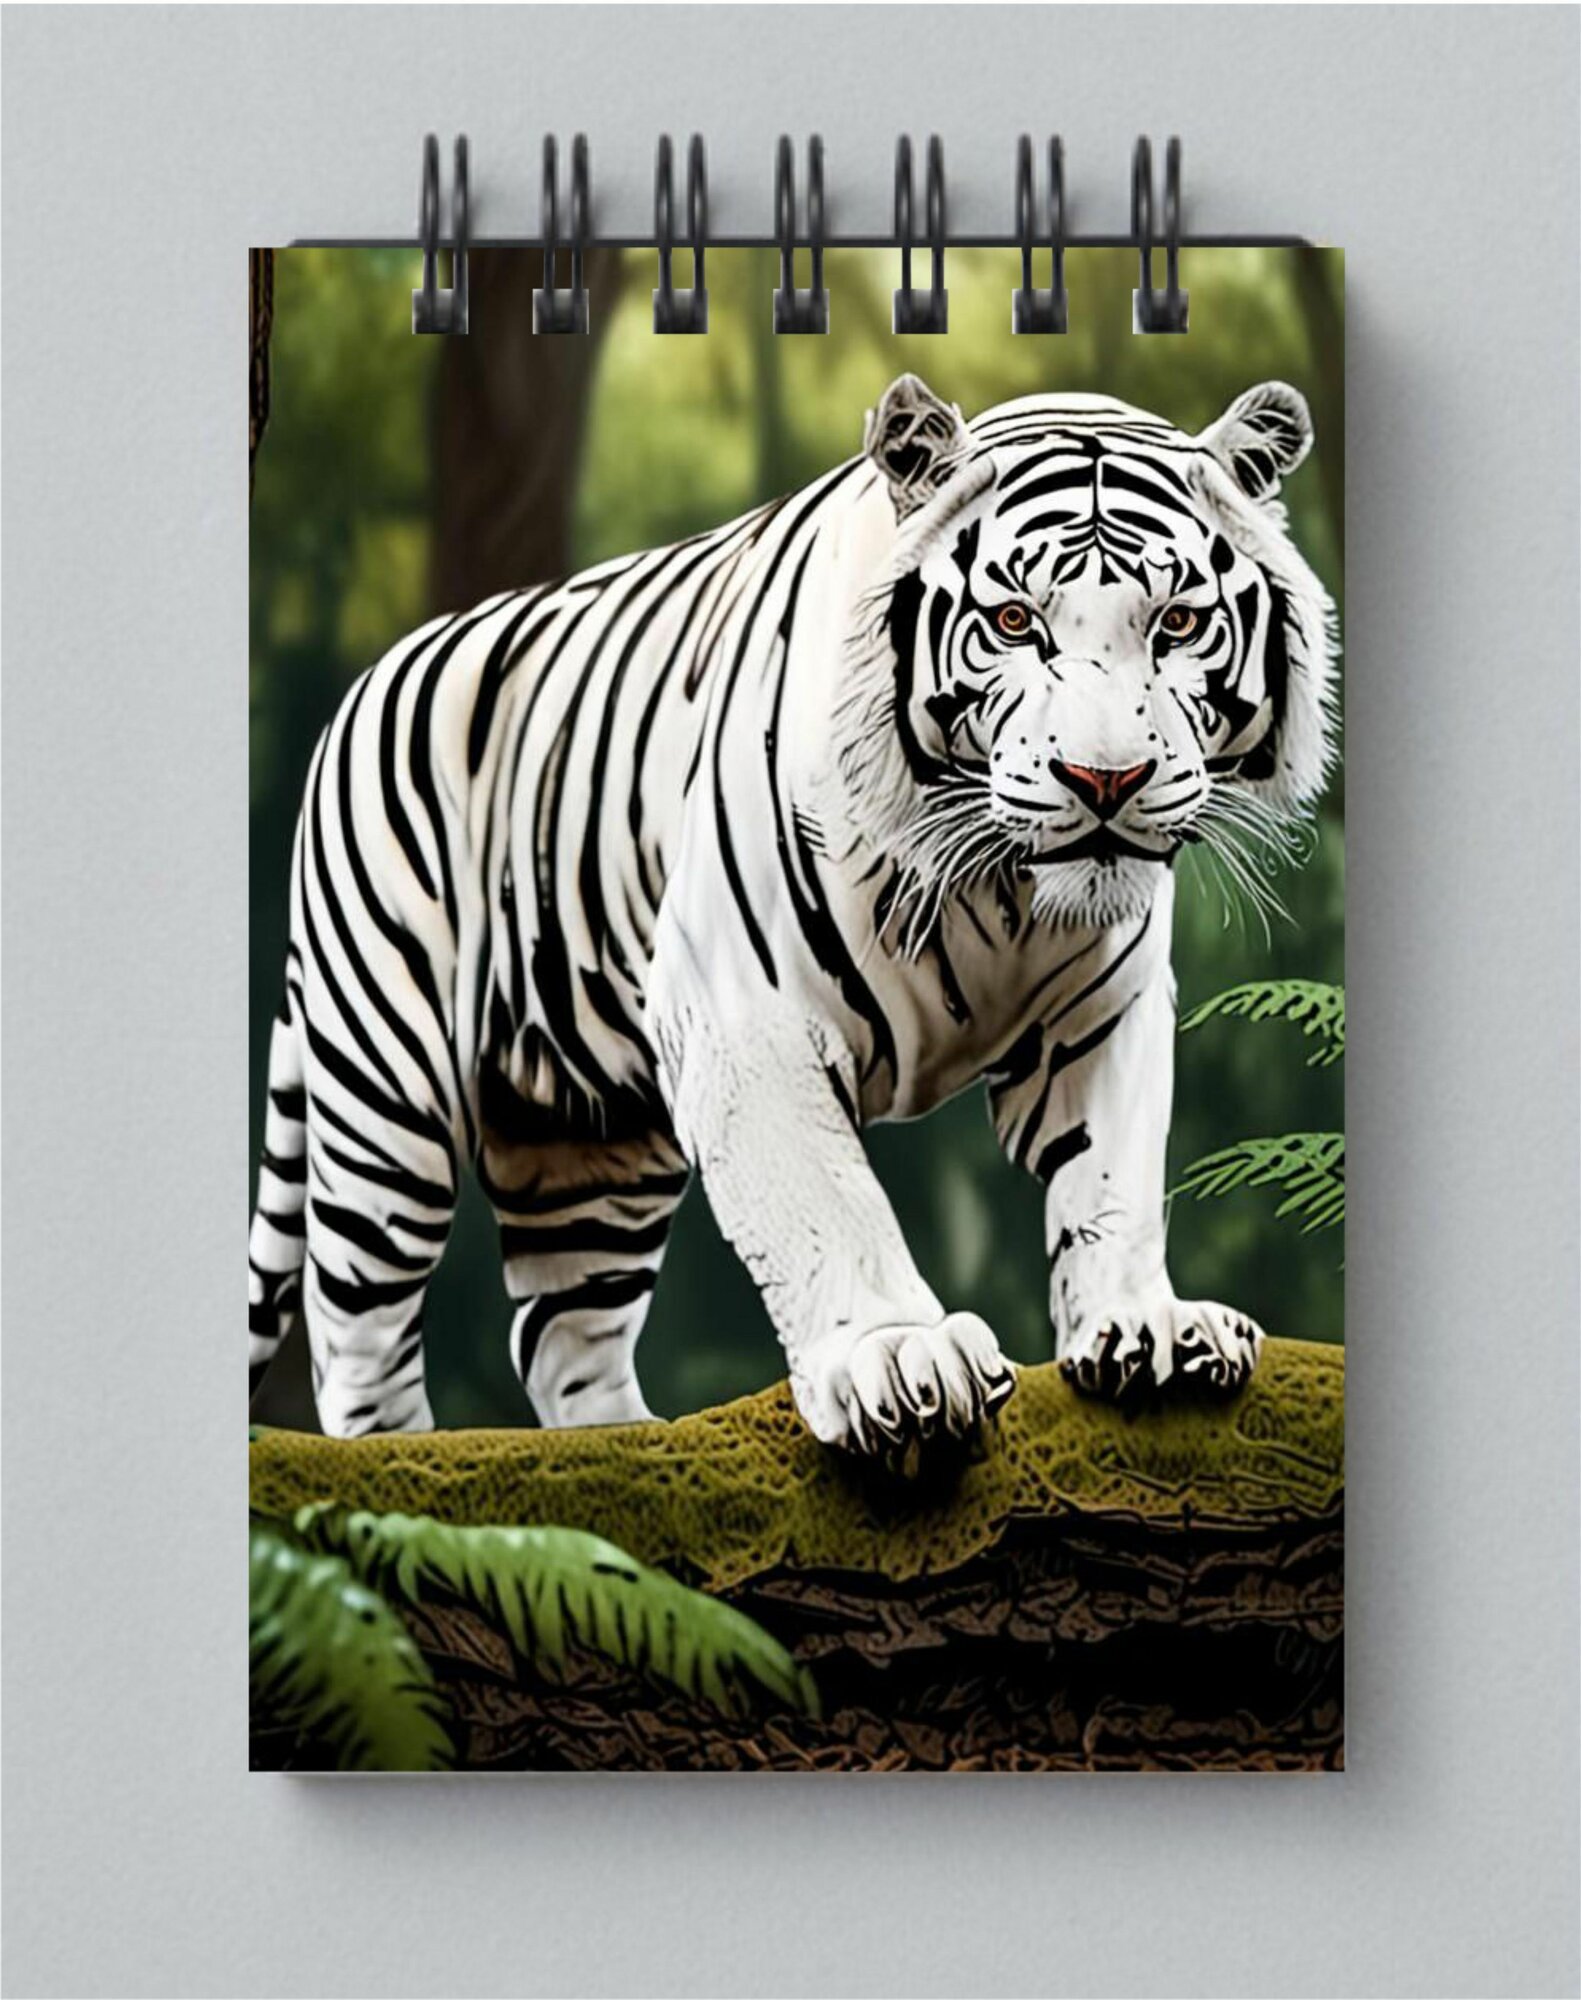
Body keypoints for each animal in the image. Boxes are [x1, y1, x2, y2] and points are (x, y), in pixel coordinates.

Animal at [248, 371, 1336, 1455]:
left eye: (1178, 624)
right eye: (1014, 623)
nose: (1105, 780)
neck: (997, 887)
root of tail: (365, 685)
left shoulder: (1102, 1016)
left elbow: (1112, 1180)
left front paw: (1145, 1323)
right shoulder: (745, 1017)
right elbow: (828, 1202)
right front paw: (901, 1355)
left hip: (590, 1144)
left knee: (565, 1334)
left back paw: (620, 1452)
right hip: (388, 1108)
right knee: (357, 1340)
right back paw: (403, 1460)